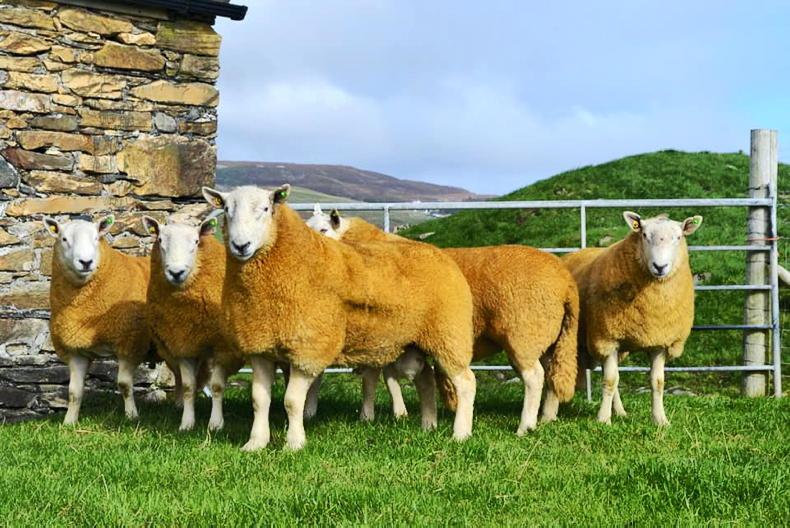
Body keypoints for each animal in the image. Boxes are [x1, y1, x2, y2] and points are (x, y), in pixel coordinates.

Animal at [44, 215, 153, 425]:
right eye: (64, 239)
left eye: (96, 238)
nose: (86, 262)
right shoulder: (75, 350)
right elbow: (74, 392)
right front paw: (69, 422)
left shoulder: (130, 342)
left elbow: (124, 384)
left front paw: (131, 416)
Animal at [141, 214, 245, 432]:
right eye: (160, 240)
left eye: (196, 242)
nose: (176, 272)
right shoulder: (183, 344)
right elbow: (189, 386)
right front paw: (187, 423)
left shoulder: (221, 348)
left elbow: (217, 386)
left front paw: (215, 424)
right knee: (181, 379)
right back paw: (179, 403)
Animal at [202, 184, 476, 451]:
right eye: (226, 209)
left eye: (266, 208)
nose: (241, 245)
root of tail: (439, 254)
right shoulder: (259, 345)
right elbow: (259, 400)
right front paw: (255, 443)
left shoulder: (309, 348)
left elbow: (292, 401)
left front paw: (294, 443)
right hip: (412, 343)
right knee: (425, 378)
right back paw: (429, 425)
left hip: (449, 334)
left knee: (465, 382)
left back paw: (460, 434)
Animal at [308, 208, 579, 434]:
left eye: (323, 230)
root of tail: (566, 281)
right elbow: (387, 375)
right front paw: (398, 413)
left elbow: (371, 376)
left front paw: (365, 415)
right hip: (549, 336)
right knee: (552, 373)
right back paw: (546, 418)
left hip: (523, 332)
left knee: (534, 377)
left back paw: (525, 426)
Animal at [564, 211, 703, 426]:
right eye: (644, 235)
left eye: (679, 237)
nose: (660, 267)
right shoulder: (607, 337)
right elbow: (610, 381)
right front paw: (603, 420)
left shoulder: (660, 341)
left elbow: (657, 382)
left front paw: (660, 420)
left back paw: (620, 411)